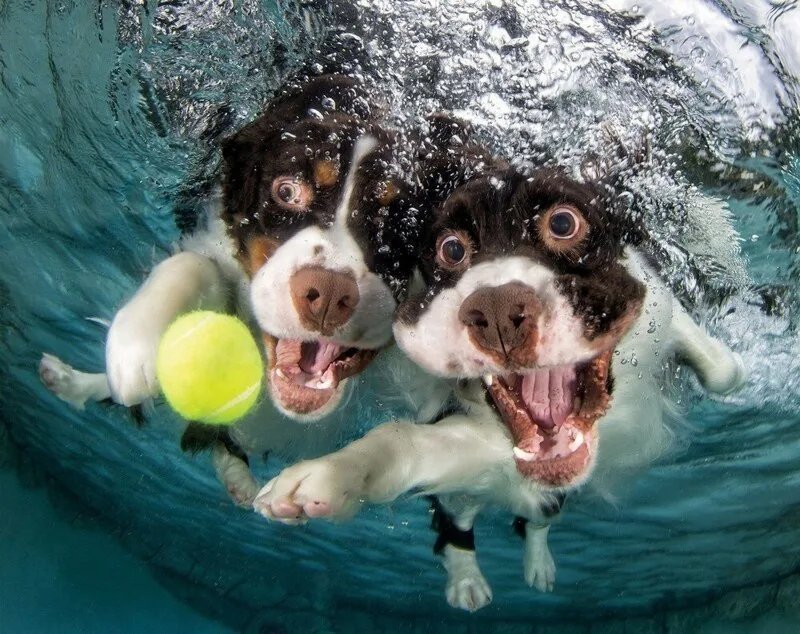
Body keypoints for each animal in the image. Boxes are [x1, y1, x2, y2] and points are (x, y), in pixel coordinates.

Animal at [37, 73, 462, 504]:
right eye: (287, 191)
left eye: (403, 224)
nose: (327, 296)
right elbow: (193, 266)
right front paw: (135, 342)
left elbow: (411, 439)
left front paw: (327, 480)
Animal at [253, 164, 748, 608]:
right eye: (451, 249)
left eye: (563, 222)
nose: (496, 311)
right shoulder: (470, 436)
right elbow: (402, 442)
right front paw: (332, 476)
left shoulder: (660, 312)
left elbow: (724, 368)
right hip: (463, 495)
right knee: (457, 526)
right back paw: (467, 582)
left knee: (537, 518)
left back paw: (538, 564)